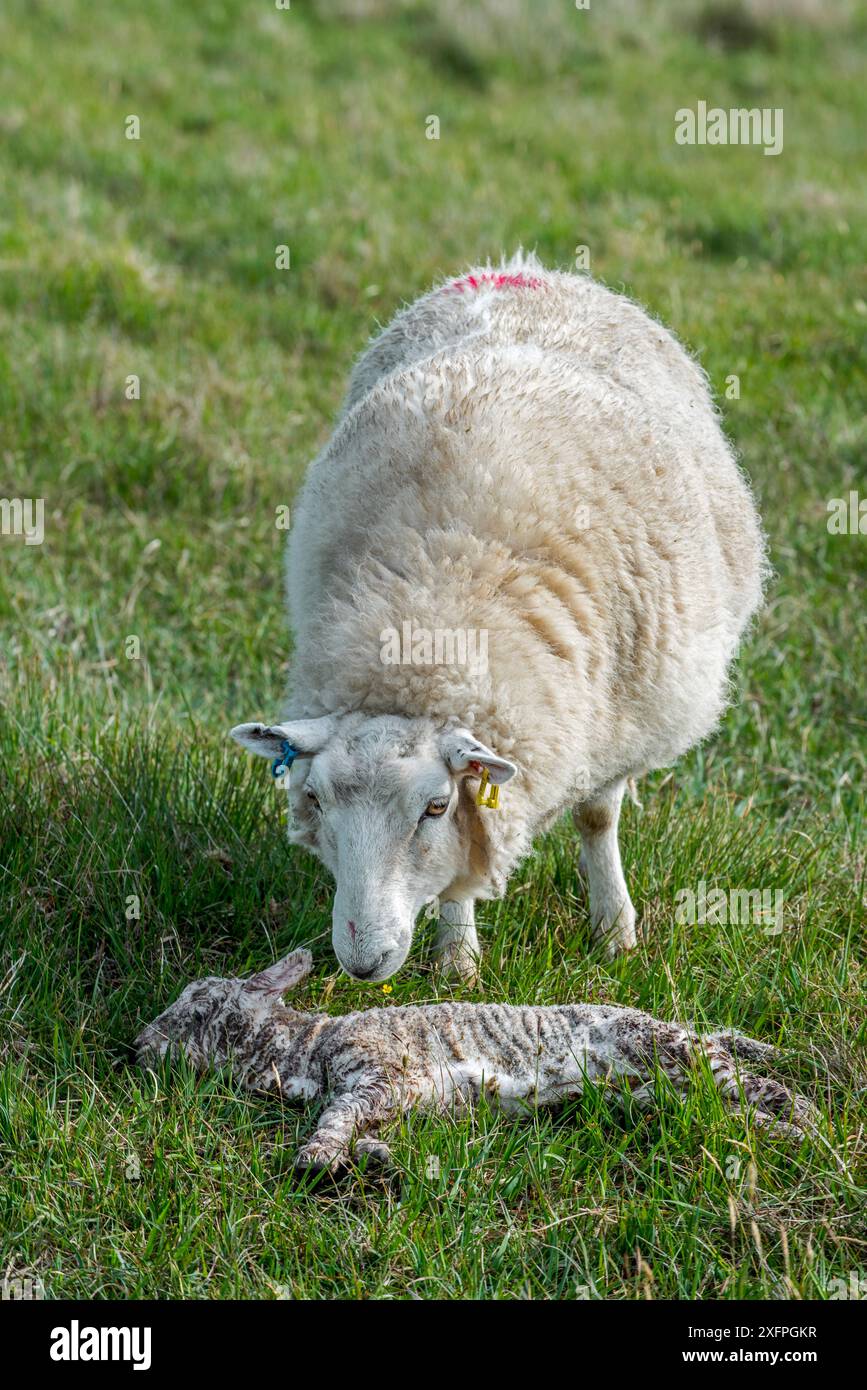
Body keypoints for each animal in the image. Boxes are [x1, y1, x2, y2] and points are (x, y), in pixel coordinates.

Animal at [135, 950, 819, 1173]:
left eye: (198, 1005)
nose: (138, 1044)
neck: (309, 1048)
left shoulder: (380, 1072)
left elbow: (335, 1116)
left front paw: (316, 1157)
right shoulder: (394, 1098)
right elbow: (363, 1128)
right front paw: (374, 1159)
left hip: (666, 1049)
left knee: (761, 1085)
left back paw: (812, 1127)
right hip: (662, 1085)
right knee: (728, 1098)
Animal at [232, 253, 766, 983]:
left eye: (434, 807)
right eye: (315, 801)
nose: (362, 963)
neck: (437, 610)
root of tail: (523, 268)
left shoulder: (619, 721)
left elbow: (596, 819)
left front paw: (613, 930)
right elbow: (462, 872)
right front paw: (457, 959)